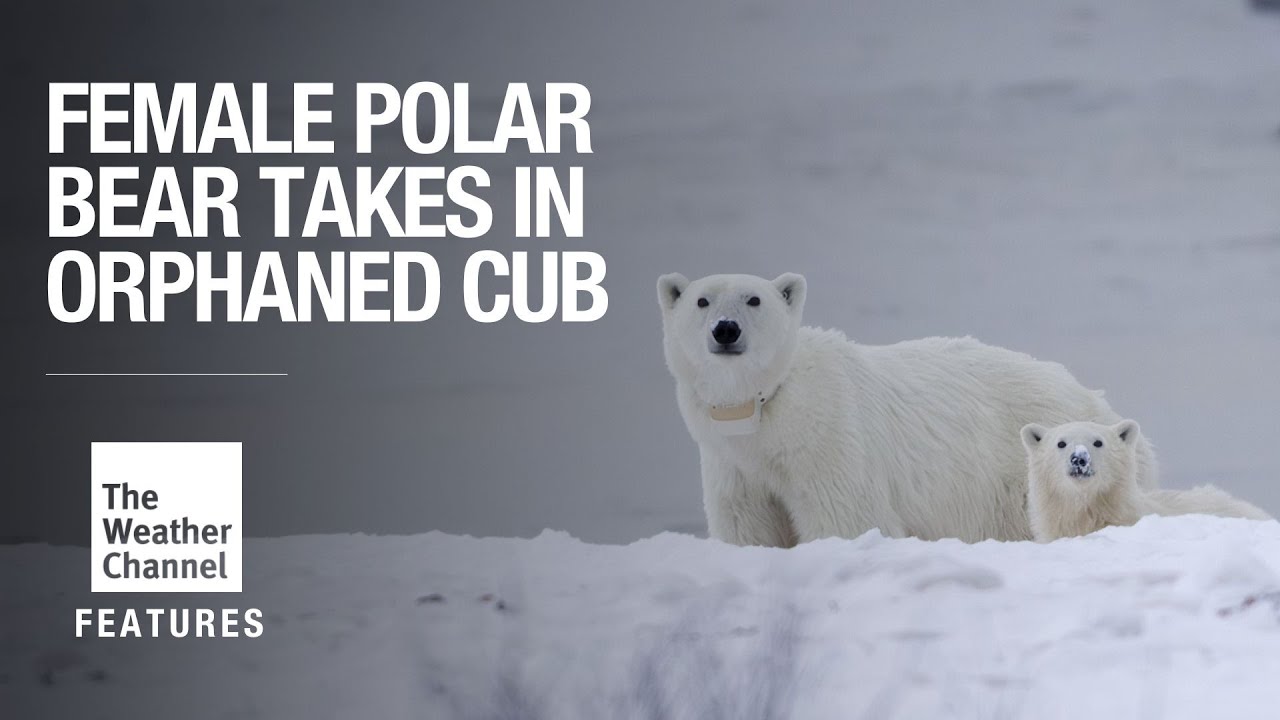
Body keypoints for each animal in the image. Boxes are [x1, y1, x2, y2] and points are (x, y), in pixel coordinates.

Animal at [657, 271, 1158, 546]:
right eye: (701, 300)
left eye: (754, 298)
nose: (725, 329)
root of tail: (1095, 396)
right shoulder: (732, 463)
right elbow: (748, 528)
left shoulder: (833, 443)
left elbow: (848, 519)